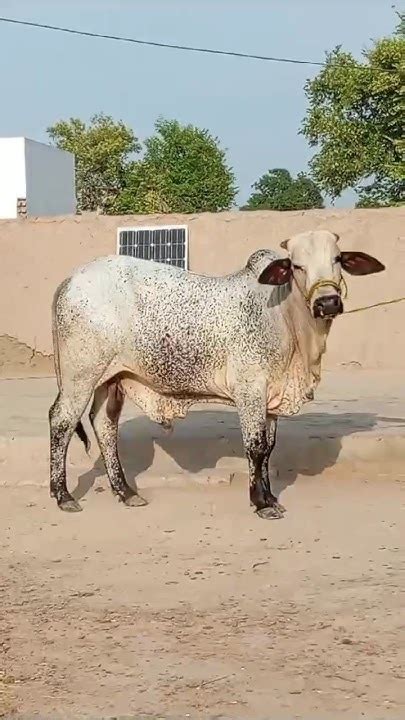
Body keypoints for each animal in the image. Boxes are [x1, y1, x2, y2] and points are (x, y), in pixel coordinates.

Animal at [49, 230, 384, 518]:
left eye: (338, 259)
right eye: (297, 266)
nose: (327, 302)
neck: (284, 318)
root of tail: (70, 280)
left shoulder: (271, 398)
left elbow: (269, 448)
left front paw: (271, 496)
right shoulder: (250, 391)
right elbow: (256, 447)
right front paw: (261, 503)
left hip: (110, 380)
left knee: (104, 425)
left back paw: (126, 492)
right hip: (81, 375)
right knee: (61, 420)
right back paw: (63, 495)